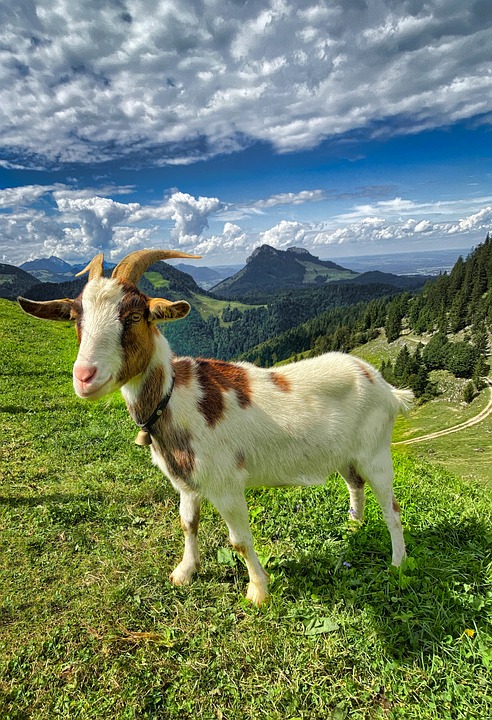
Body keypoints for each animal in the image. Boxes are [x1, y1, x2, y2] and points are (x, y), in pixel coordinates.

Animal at [18, 249, 413, 606]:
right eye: (75, 317)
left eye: (134, 315)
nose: (85, 377)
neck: (174, 398)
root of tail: (384, 385)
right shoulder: (186, 482)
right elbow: (188, 523)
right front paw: (185, 571)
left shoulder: (226, 485)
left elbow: (239, 541)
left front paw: (258, 592)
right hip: (347, 455)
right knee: (355, 484)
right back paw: (354, 525)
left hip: (377, 452)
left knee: (391, 507)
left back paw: (398, 564)